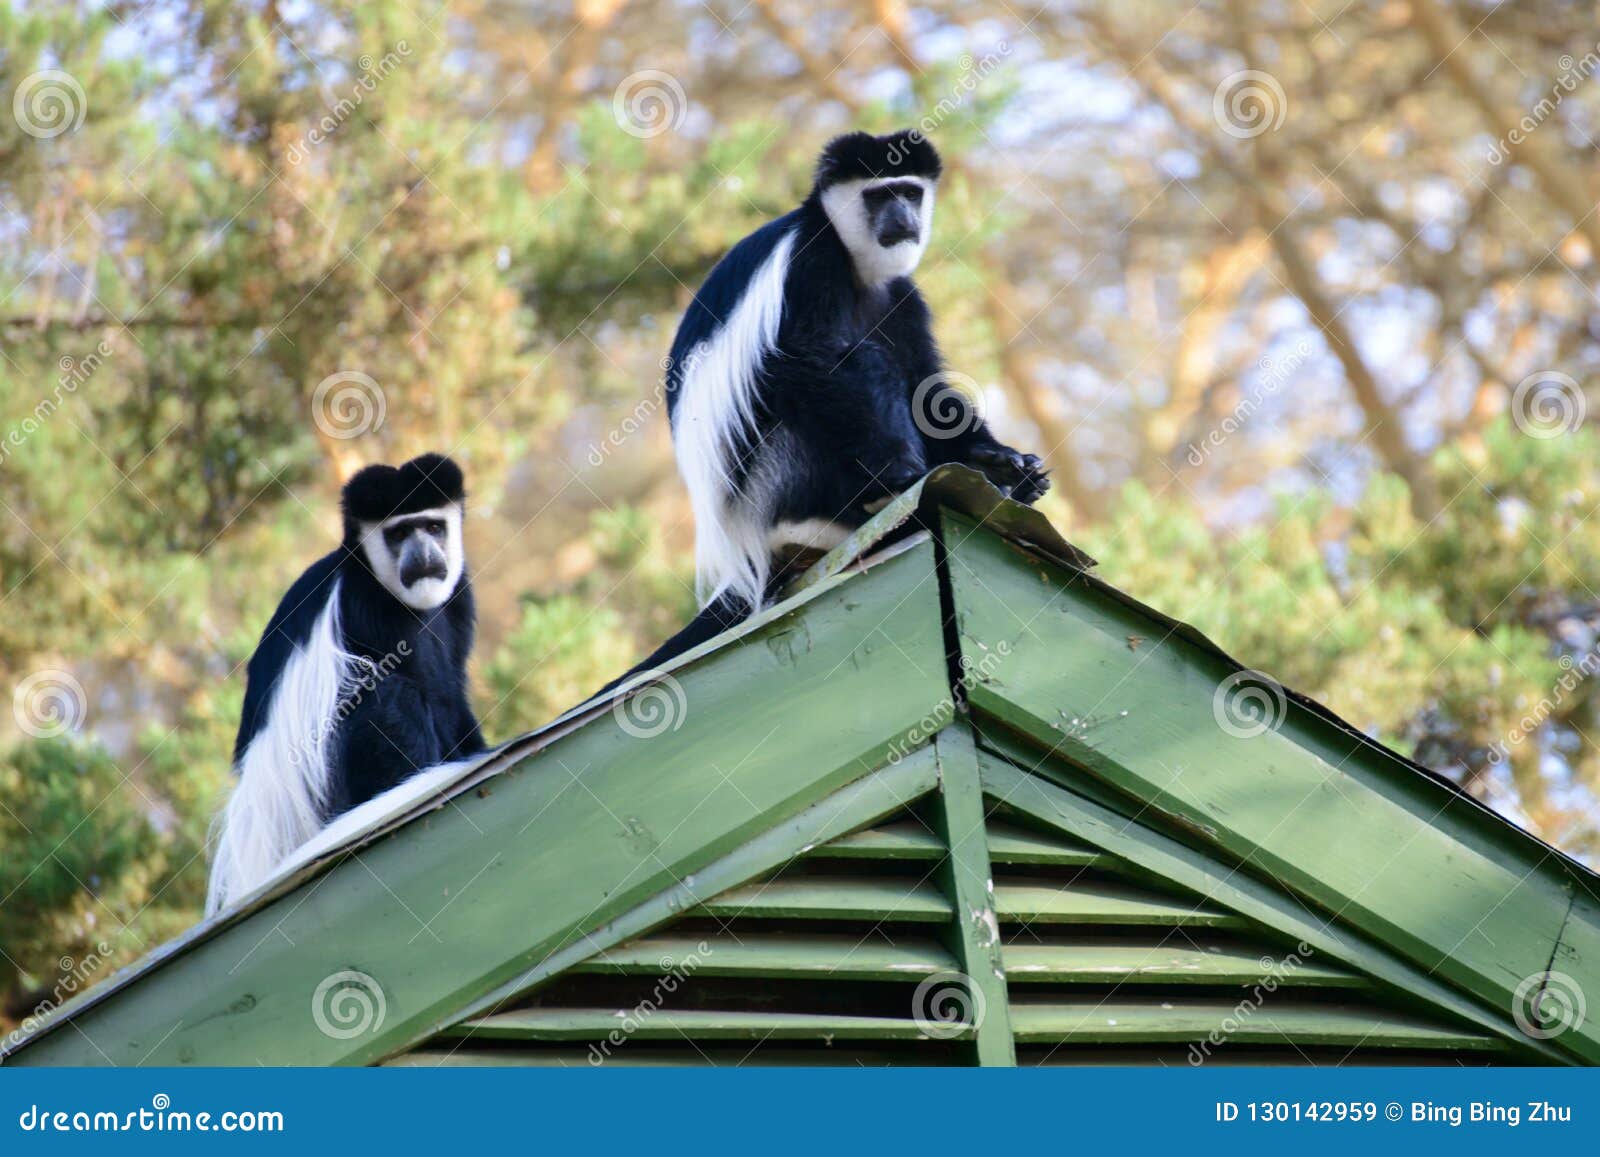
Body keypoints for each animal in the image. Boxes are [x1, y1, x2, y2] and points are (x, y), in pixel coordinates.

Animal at [206, 452, 483, 913]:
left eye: (433, 527)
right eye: (399, 533)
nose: (423, 557)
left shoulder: (459, 595)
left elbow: (455, 697)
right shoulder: (371, 607)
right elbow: (433, 694)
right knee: (390, 697)